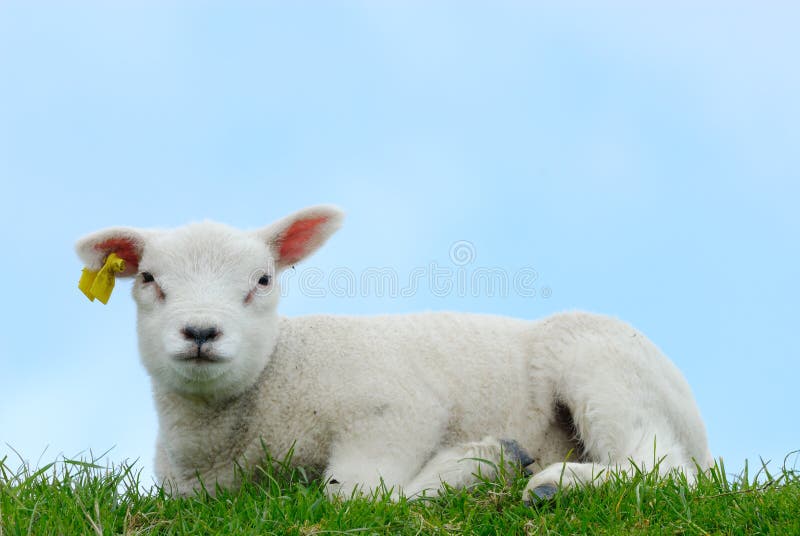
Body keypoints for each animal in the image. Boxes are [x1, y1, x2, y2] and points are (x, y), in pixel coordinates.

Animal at [75, 204, 713, 504]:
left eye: (263, 280)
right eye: (149, 279)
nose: (201, 332)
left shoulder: (397, 409)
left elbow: (354, 496)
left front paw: (479, 461)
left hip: (599, 362)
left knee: (661, 467)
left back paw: (553, 484)